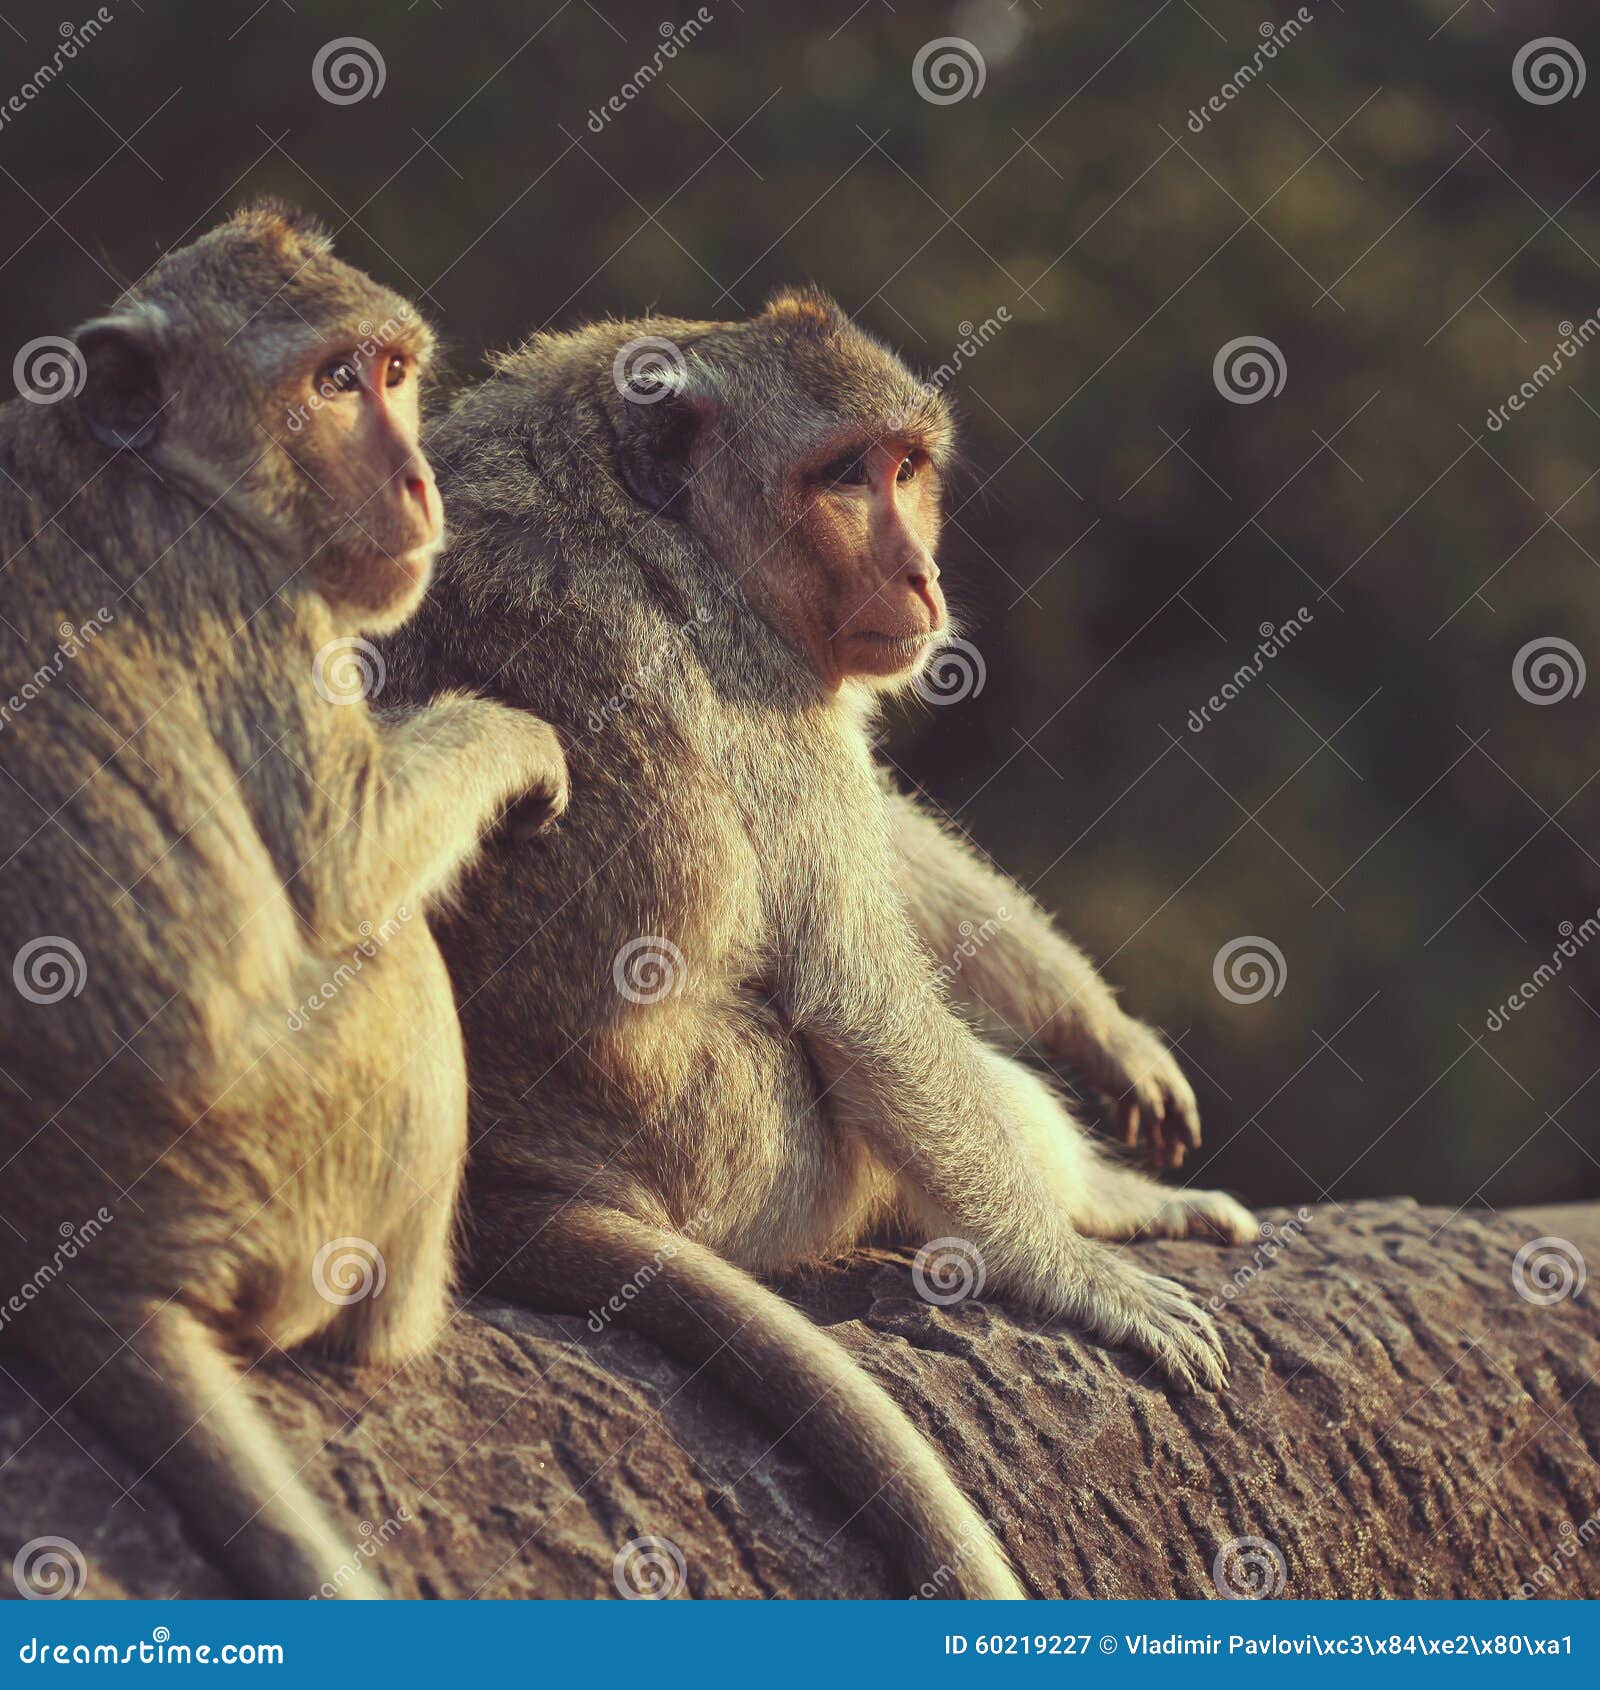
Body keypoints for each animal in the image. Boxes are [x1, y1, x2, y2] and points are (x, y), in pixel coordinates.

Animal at [0, 204, 566, 1599]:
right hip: (303, 1139)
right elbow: (343, 863)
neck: (166, 473)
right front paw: (524, 735)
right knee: (394, 952)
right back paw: (404, 1324)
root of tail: (63, 1260)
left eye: (392, 372)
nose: (417, 482)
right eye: (329, 384)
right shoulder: (253, 598)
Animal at [378, 288, 1258, 1601]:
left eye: (904, 467)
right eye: (842, 475)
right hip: (749, 1159)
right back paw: (1089, 1214)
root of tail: (512, 1179)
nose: (922, 573)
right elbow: (855, 992)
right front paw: (1063, 1271)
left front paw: (1096, 1024)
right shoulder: (752, 671)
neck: (647, 496)